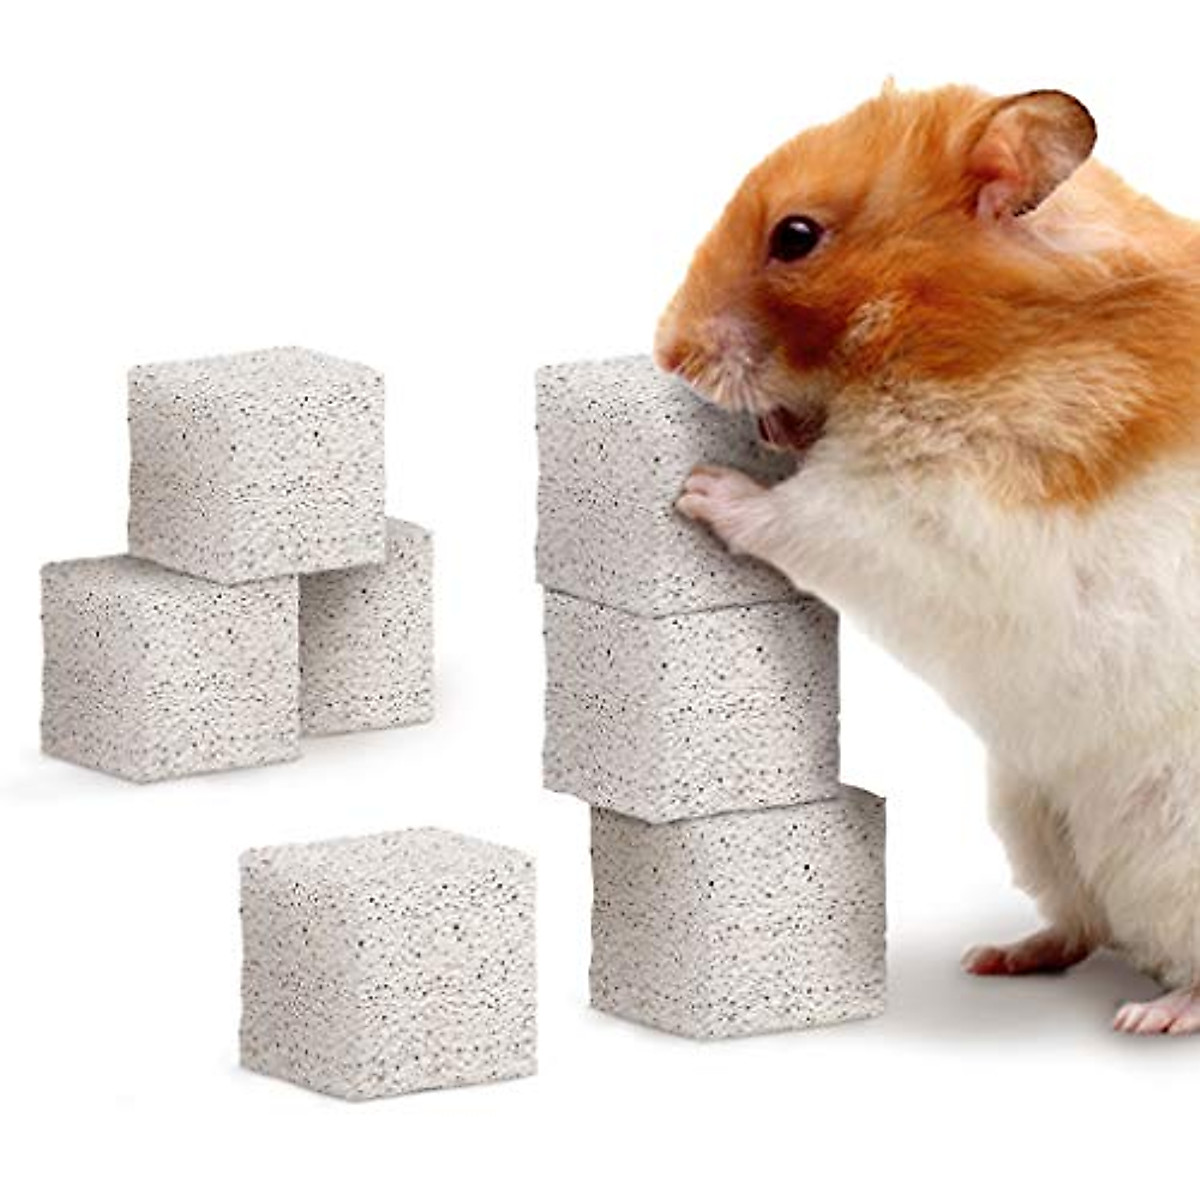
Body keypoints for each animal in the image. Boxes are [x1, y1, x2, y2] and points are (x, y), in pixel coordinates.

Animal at [655, 82, 1200, 1035]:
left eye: (795, 236)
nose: (664, 350)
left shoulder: (920, 508)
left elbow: (800, 515)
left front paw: (703, 487)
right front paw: (773, 431)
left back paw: (1153, 1015)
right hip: (1030, 810)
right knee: (1086, 923)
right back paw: (1001, 958)